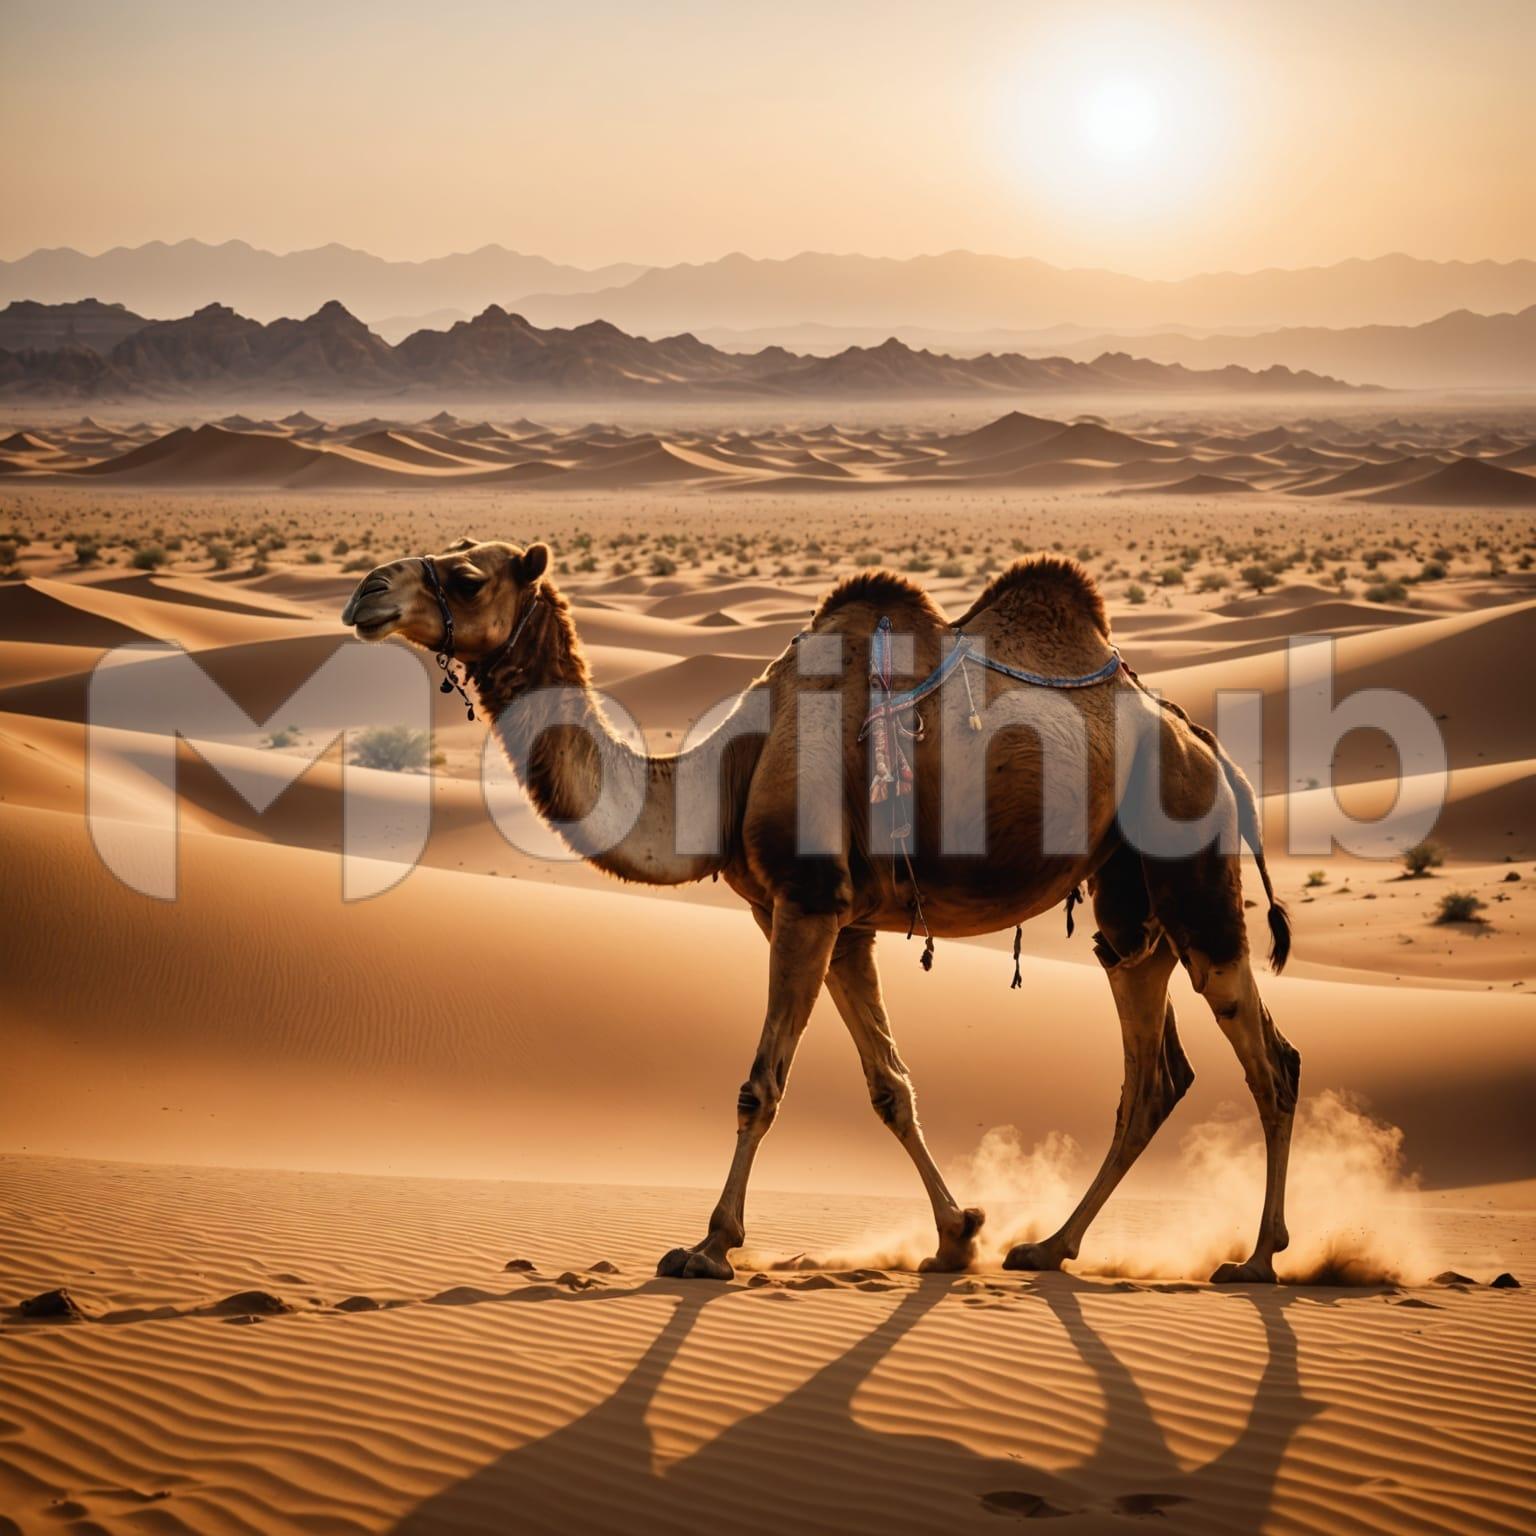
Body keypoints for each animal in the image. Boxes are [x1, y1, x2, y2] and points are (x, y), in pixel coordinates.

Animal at [343, 539, 1298, 1284]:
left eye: (468, 577)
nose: (365, 593)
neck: (728, 768)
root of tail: (1211, 750)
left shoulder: (807, 904)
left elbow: (760, 1085)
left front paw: (708, 1248)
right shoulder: (835, 922)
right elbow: (890, 1086)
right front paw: (958, 1236)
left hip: (1193, 872)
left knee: (1271, 1059)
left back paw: (1257, 1259)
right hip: (1128, 902)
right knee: (1153, 1069)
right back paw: (1049, 1247)